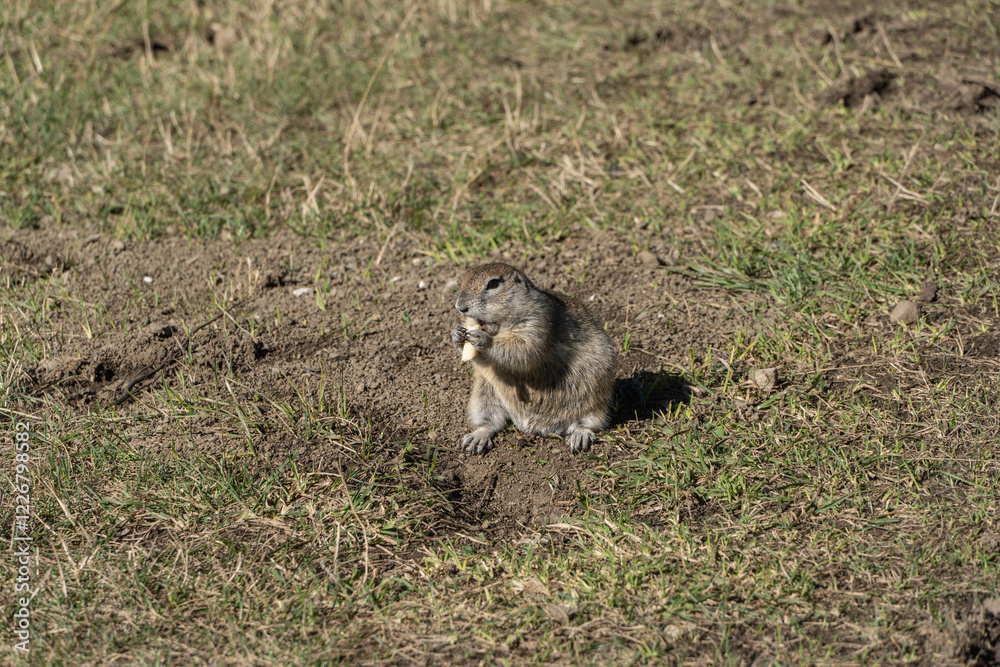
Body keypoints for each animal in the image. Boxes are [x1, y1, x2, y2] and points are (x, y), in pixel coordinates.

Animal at [450, 263, 617, 455]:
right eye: (462, 280)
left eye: (493, 283)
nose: (460, 307)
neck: (500, 327)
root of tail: (535, 427)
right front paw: (456, 334)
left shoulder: (537, 322)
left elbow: (523, 348)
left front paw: (484, 340)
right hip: (483, 395)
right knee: (490, 423)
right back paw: (477, 438)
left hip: (596, 400)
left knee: (588, 424)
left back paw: (580, 436)